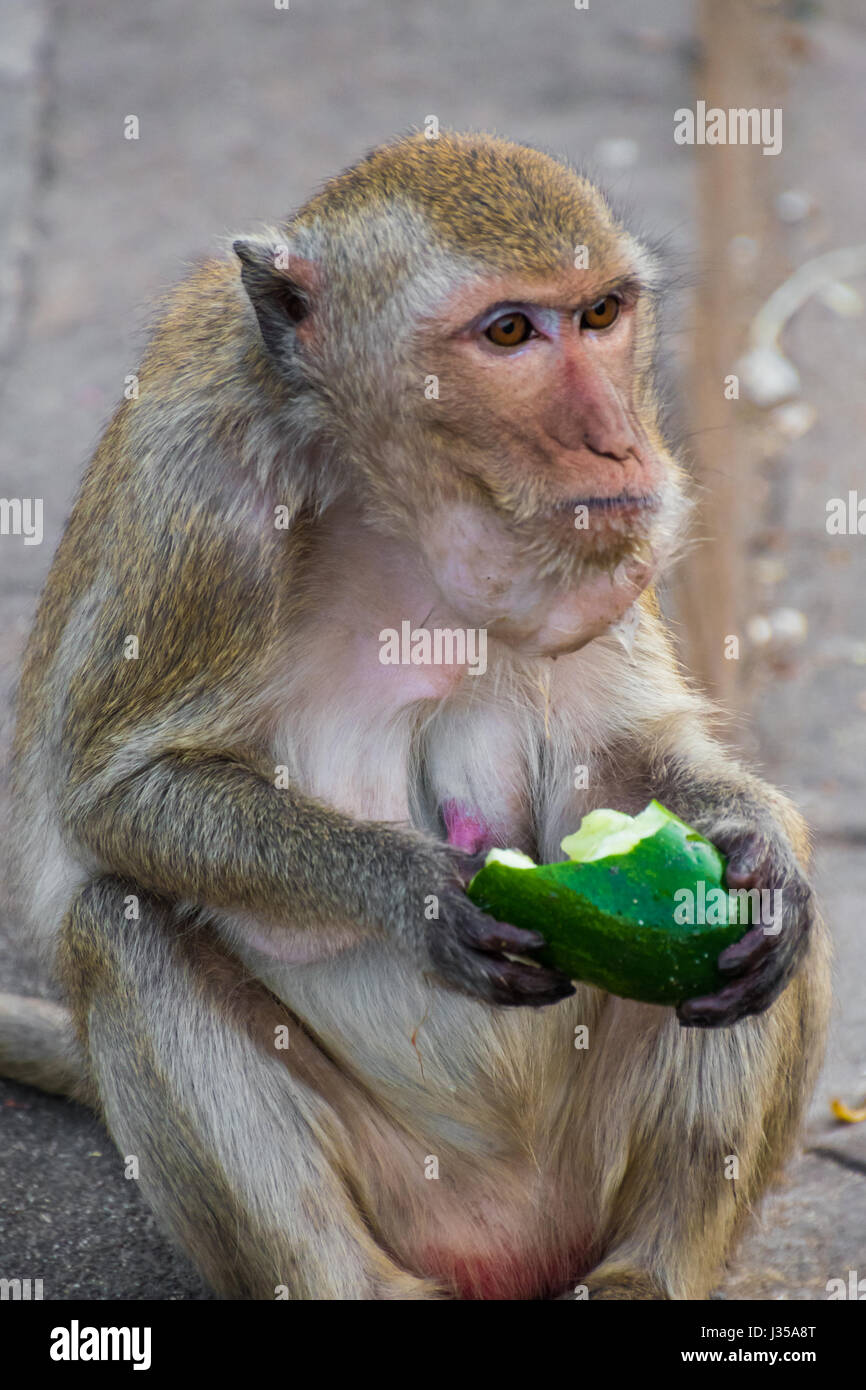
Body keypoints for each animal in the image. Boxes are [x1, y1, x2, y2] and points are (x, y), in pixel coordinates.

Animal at [0, 131, 830, 1301]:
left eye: (601, 313)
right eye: (508, 332)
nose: (619, 445)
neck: (392, 493)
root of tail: (511, 1241)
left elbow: (629, 759)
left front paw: (759, 846)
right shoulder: (197, 496)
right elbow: (113, 799)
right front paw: (418, 893)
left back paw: (648, 1268)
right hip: (402, 1197)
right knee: (119, 918)